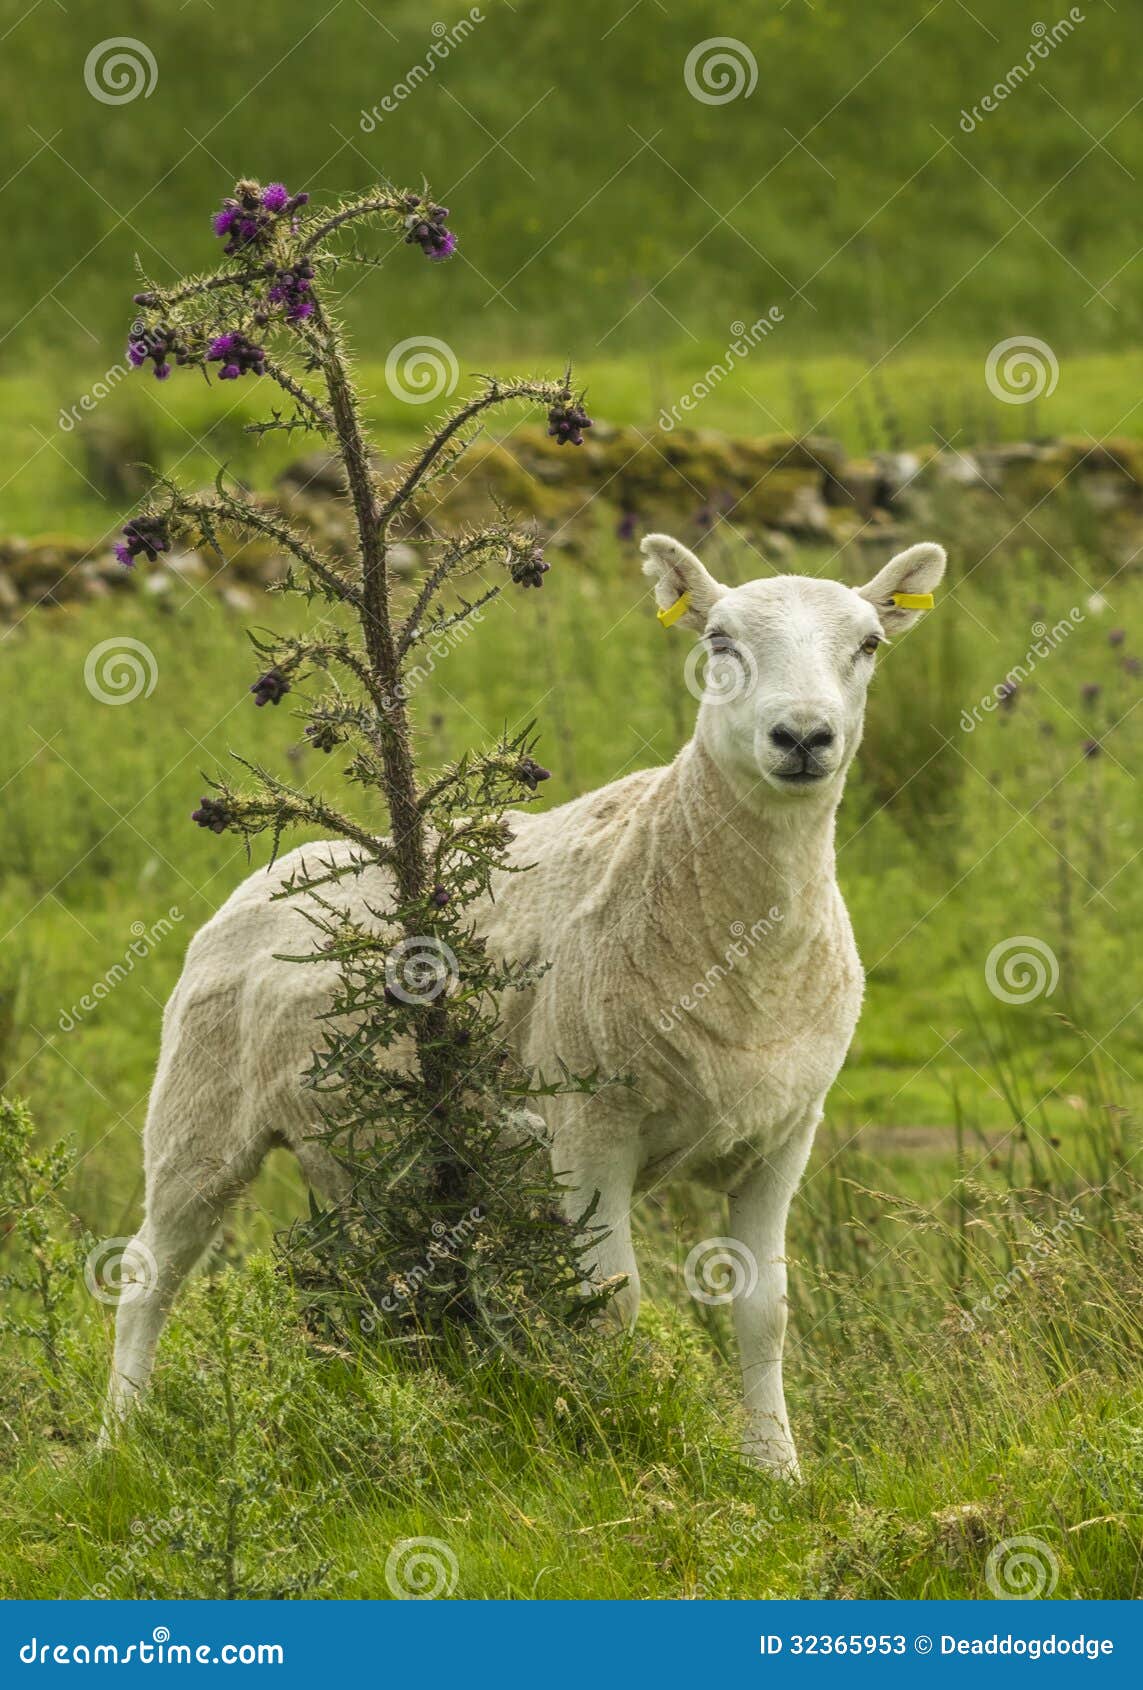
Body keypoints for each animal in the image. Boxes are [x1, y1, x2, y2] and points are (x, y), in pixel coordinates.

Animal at [104, 532, 946, 1474]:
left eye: (868, 643)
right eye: (719, 640)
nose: (801, 736)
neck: (741, 939)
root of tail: (275, 868)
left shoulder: (783, 1135)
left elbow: (764, 1314)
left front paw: (777, 1472)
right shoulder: (589, 1127)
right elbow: (612, 1302)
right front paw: (623, 1438)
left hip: (364, 1149)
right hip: (199, 1111)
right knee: (147, 1276)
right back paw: (116, 1444)